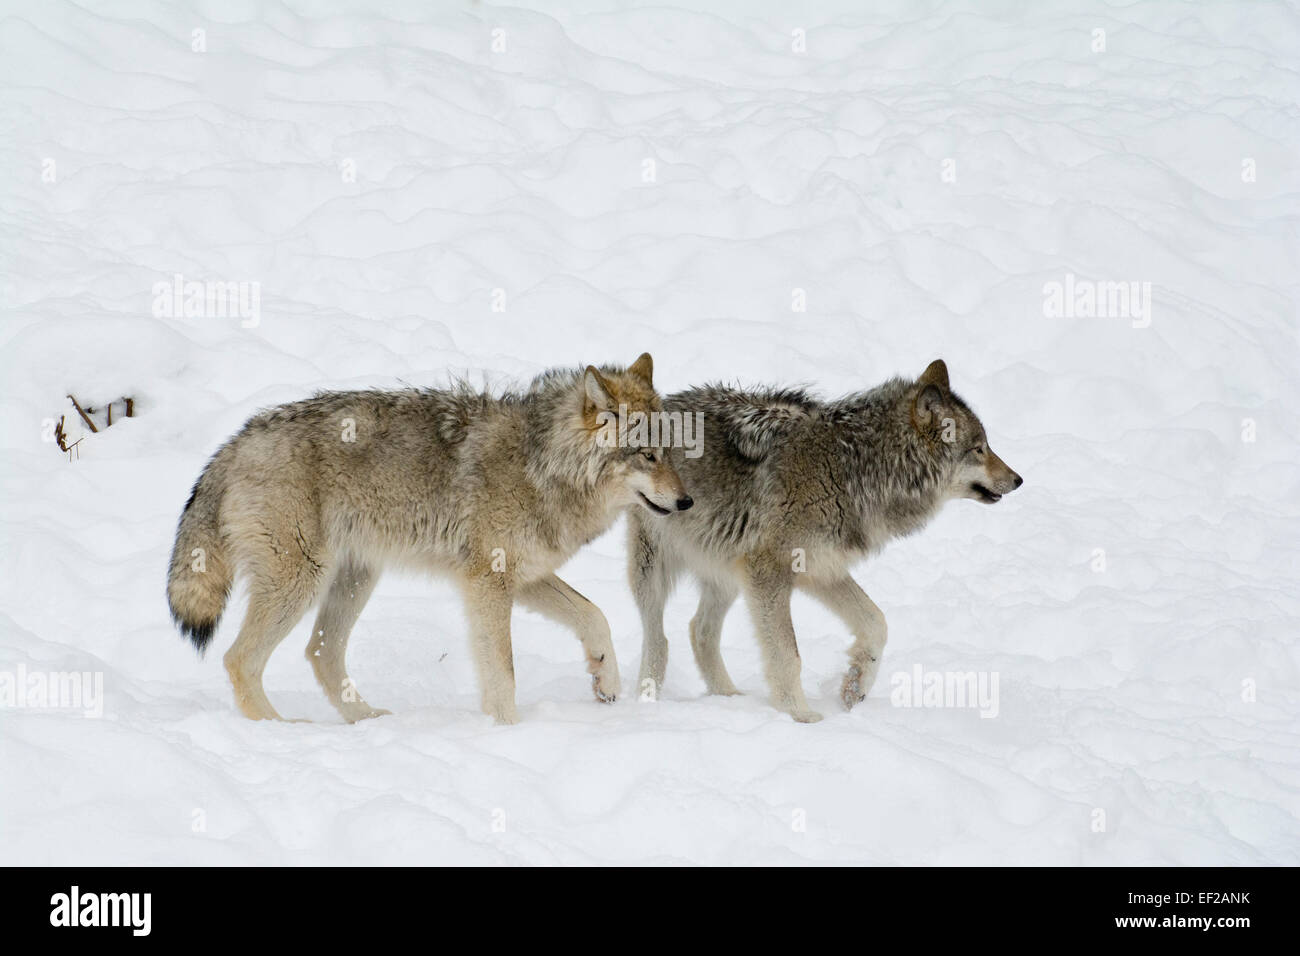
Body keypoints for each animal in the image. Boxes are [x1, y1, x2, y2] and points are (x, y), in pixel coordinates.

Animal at [167, 354, 692, 724]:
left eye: (672, 452)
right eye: (647, 456)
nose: (687, 502)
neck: (542, 465)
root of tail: (234, 443)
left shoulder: (522, 578)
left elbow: (593, 614)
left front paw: (606, 679)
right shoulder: (488, 582)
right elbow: (503, 673)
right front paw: (509, 731)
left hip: (354, 579)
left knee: (320, 653)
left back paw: (367, 720)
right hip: (302, 581)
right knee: (240, 660)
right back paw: (280, 728)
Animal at [628, 359, 1021, 722]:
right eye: (979, 449)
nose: (1018, 479)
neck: (855, 470)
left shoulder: (821, 570)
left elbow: (877, 623)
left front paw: (856, 685)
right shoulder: (768, 572)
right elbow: (788, 655)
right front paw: (800, 717)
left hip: (725, 572)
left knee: (700, 630)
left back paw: (729, 699)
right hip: (655, 567)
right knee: (658, 639)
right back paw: (647, 703)